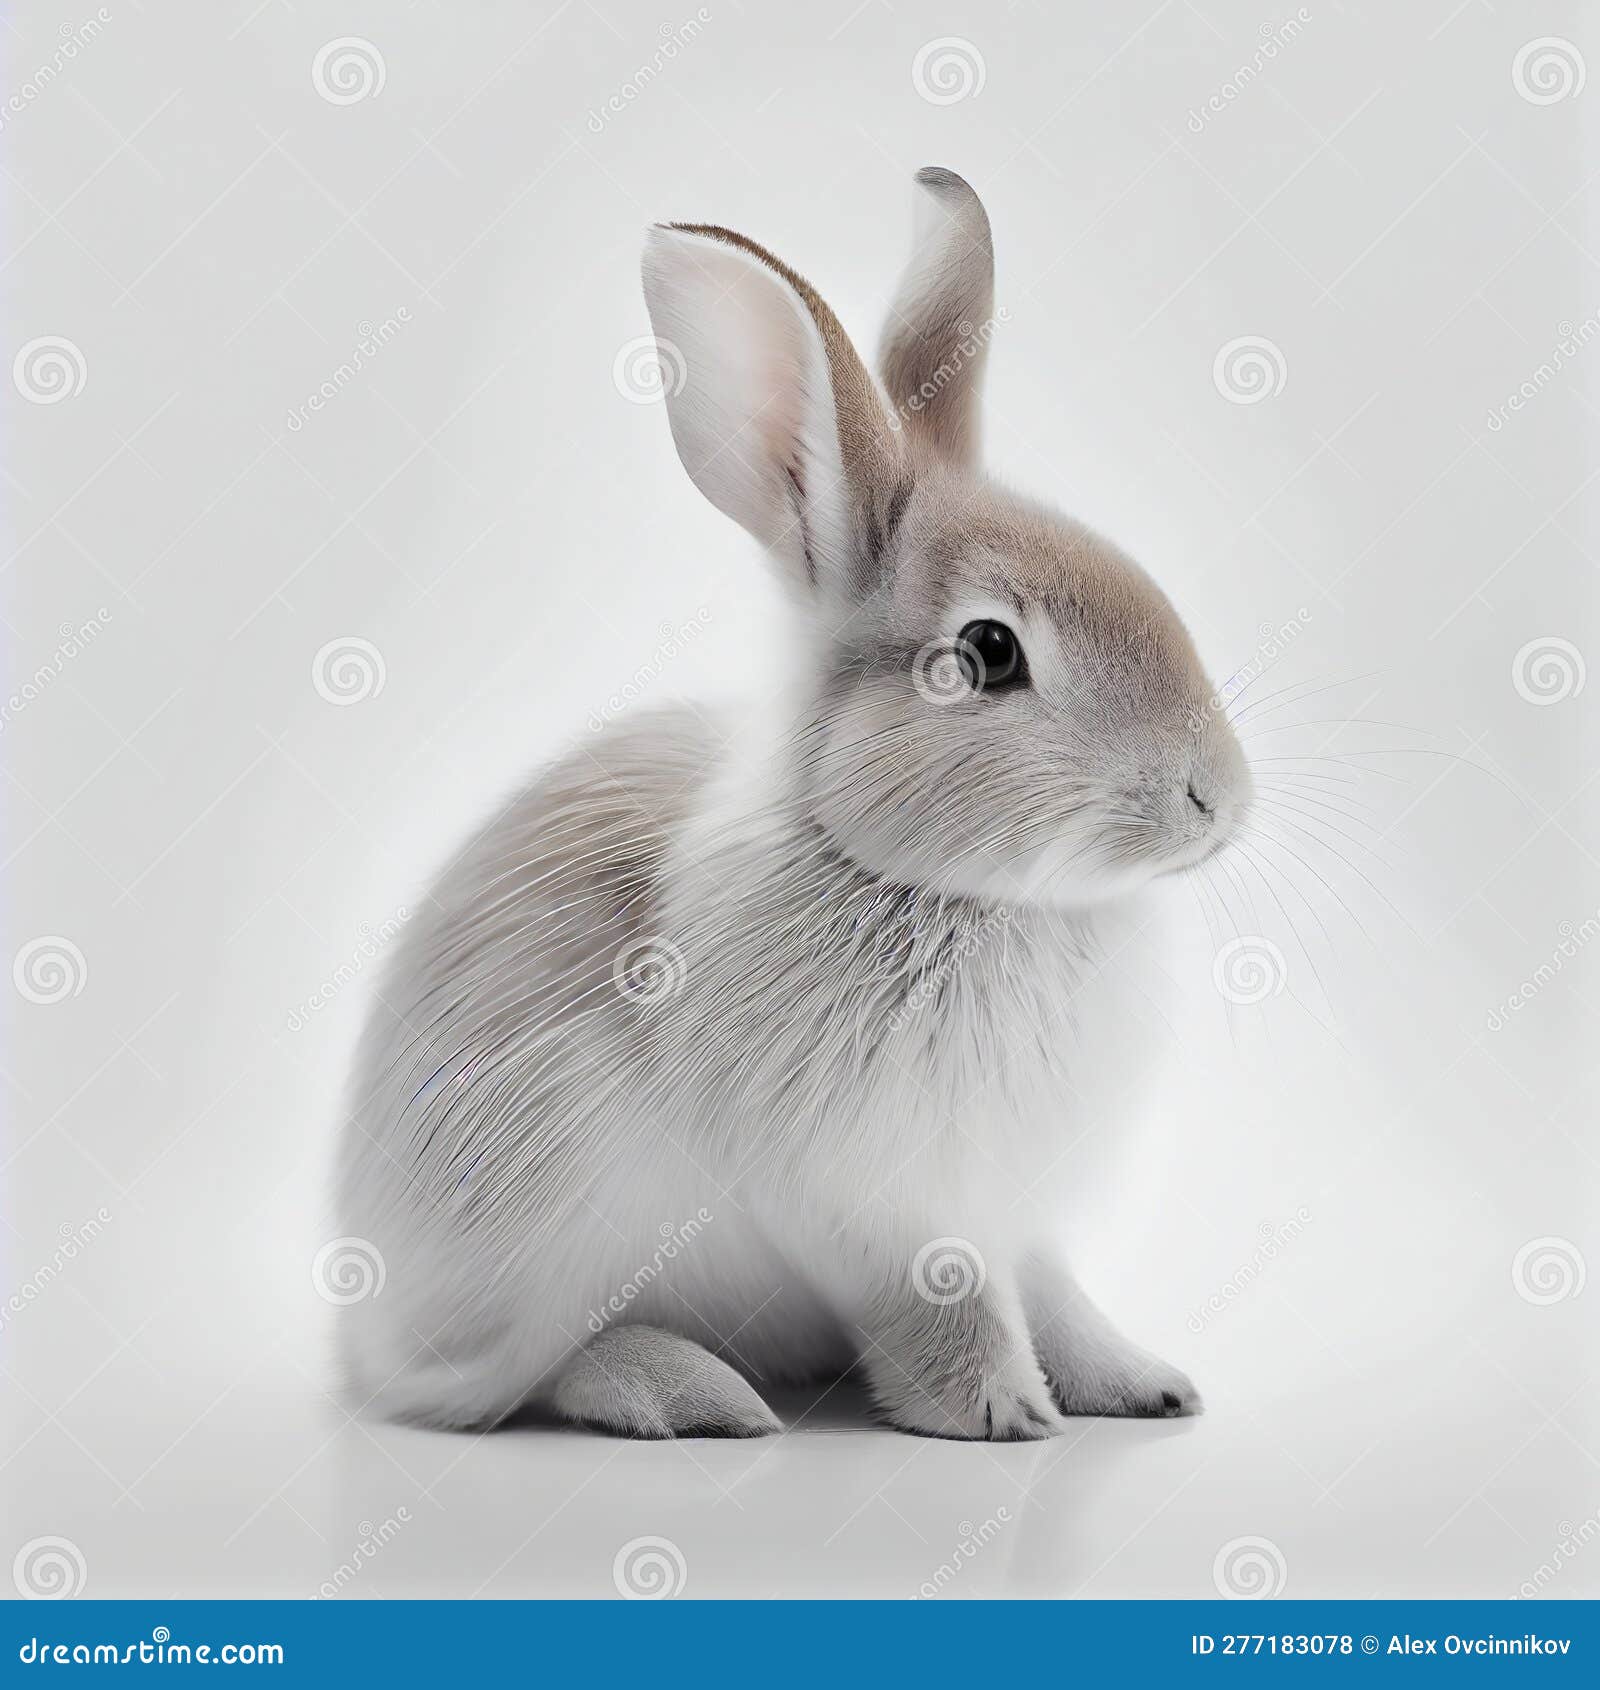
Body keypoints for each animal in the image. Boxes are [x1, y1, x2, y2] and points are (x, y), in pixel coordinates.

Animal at [336, 167, 1252, 1441]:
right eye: (987, 653)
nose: (1219, 798)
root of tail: (364, 1340)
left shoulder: (1012, 1205)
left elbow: (1056, 1295)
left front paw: (1141, 1384)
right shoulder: (871, 1199)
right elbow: (949, 1303)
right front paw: (1001, 1412)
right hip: (540, 1243)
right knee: (535, 1371)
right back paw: (690, 1393)